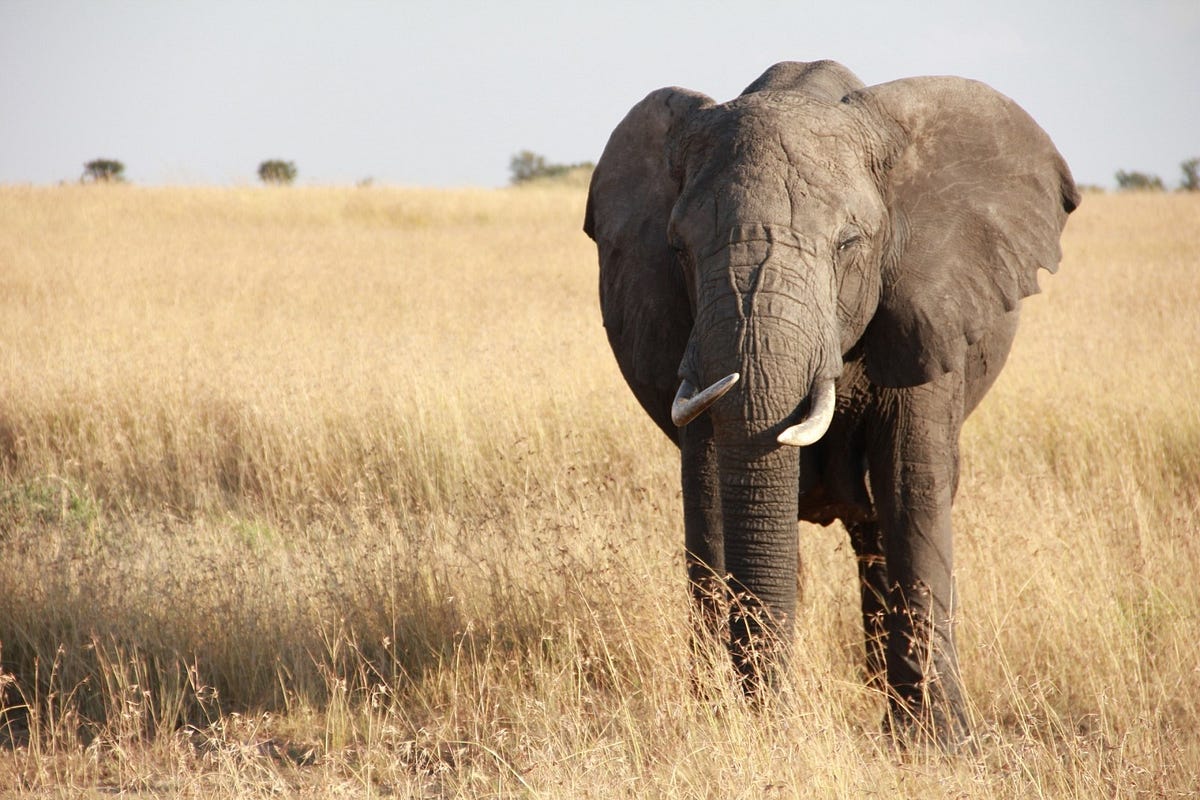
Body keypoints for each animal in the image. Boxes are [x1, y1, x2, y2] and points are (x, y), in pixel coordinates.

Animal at [583, 60, 1078, 748]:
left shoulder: (929, 306)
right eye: (677, 249)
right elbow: (707, 487)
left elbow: (911, 483)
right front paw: (720, 718)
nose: (771, 718)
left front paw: (938, 743)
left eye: (848, 244)